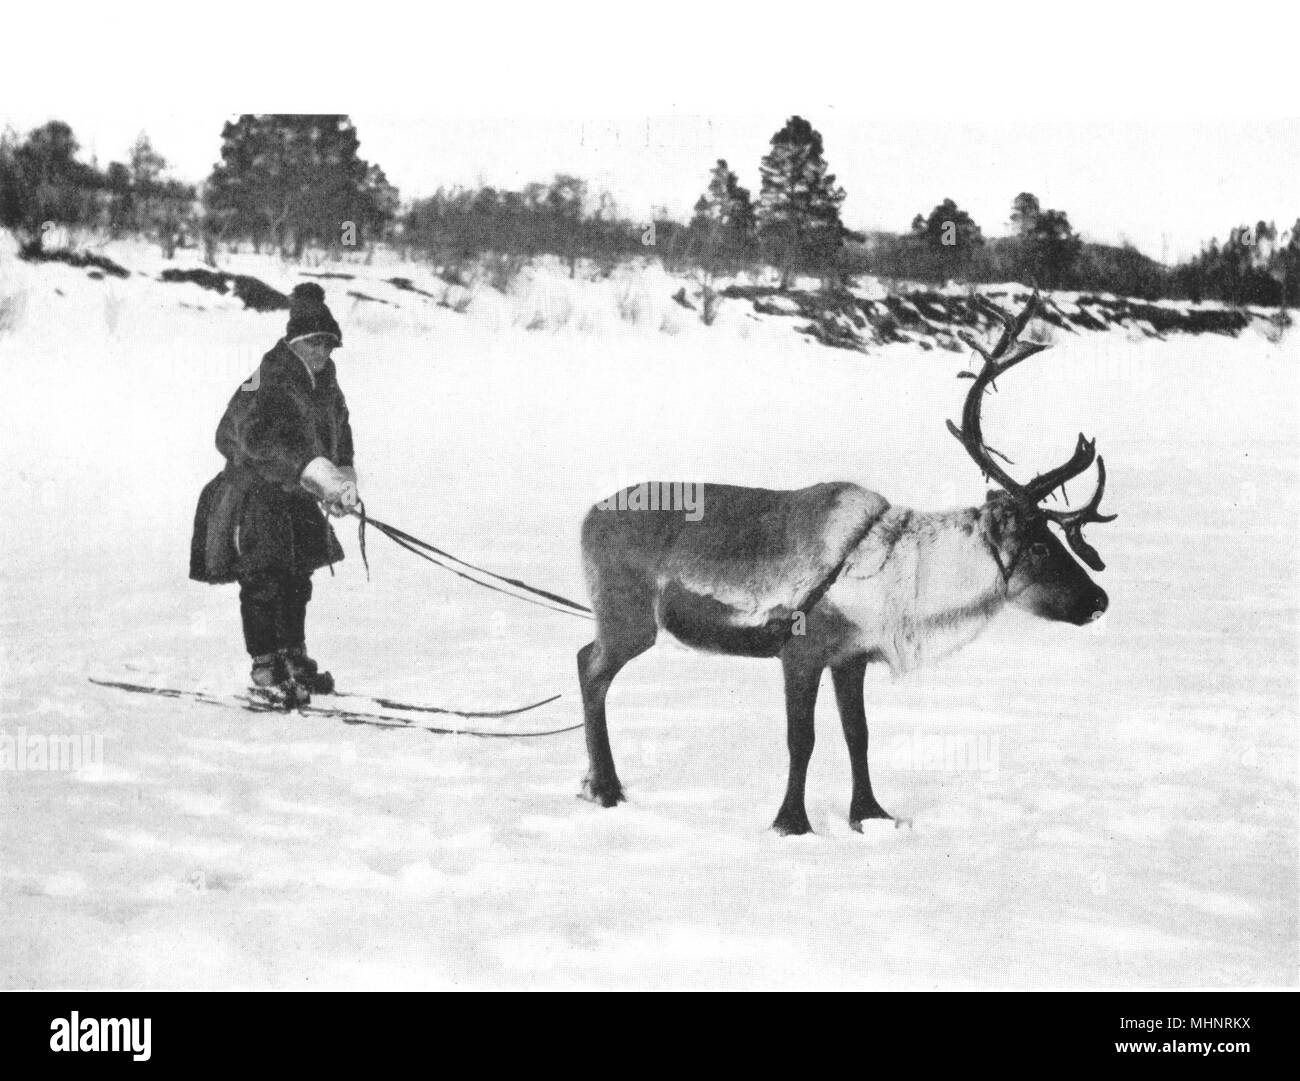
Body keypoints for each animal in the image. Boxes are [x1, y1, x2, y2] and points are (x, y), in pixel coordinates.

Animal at [576, 295, 1116, 834]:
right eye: (1040, 546)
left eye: (1056, 539)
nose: (1100, 599)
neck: (907, 581)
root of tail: (586, 518)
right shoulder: (801, 651)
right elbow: (803, 740)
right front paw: (791, 823)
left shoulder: (852, 657)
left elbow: (859, 734)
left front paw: (871, 815)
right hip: (630, 620)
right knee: (590, 666)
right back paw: (606, 790)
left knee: (587, 658)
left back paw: (599, 786)